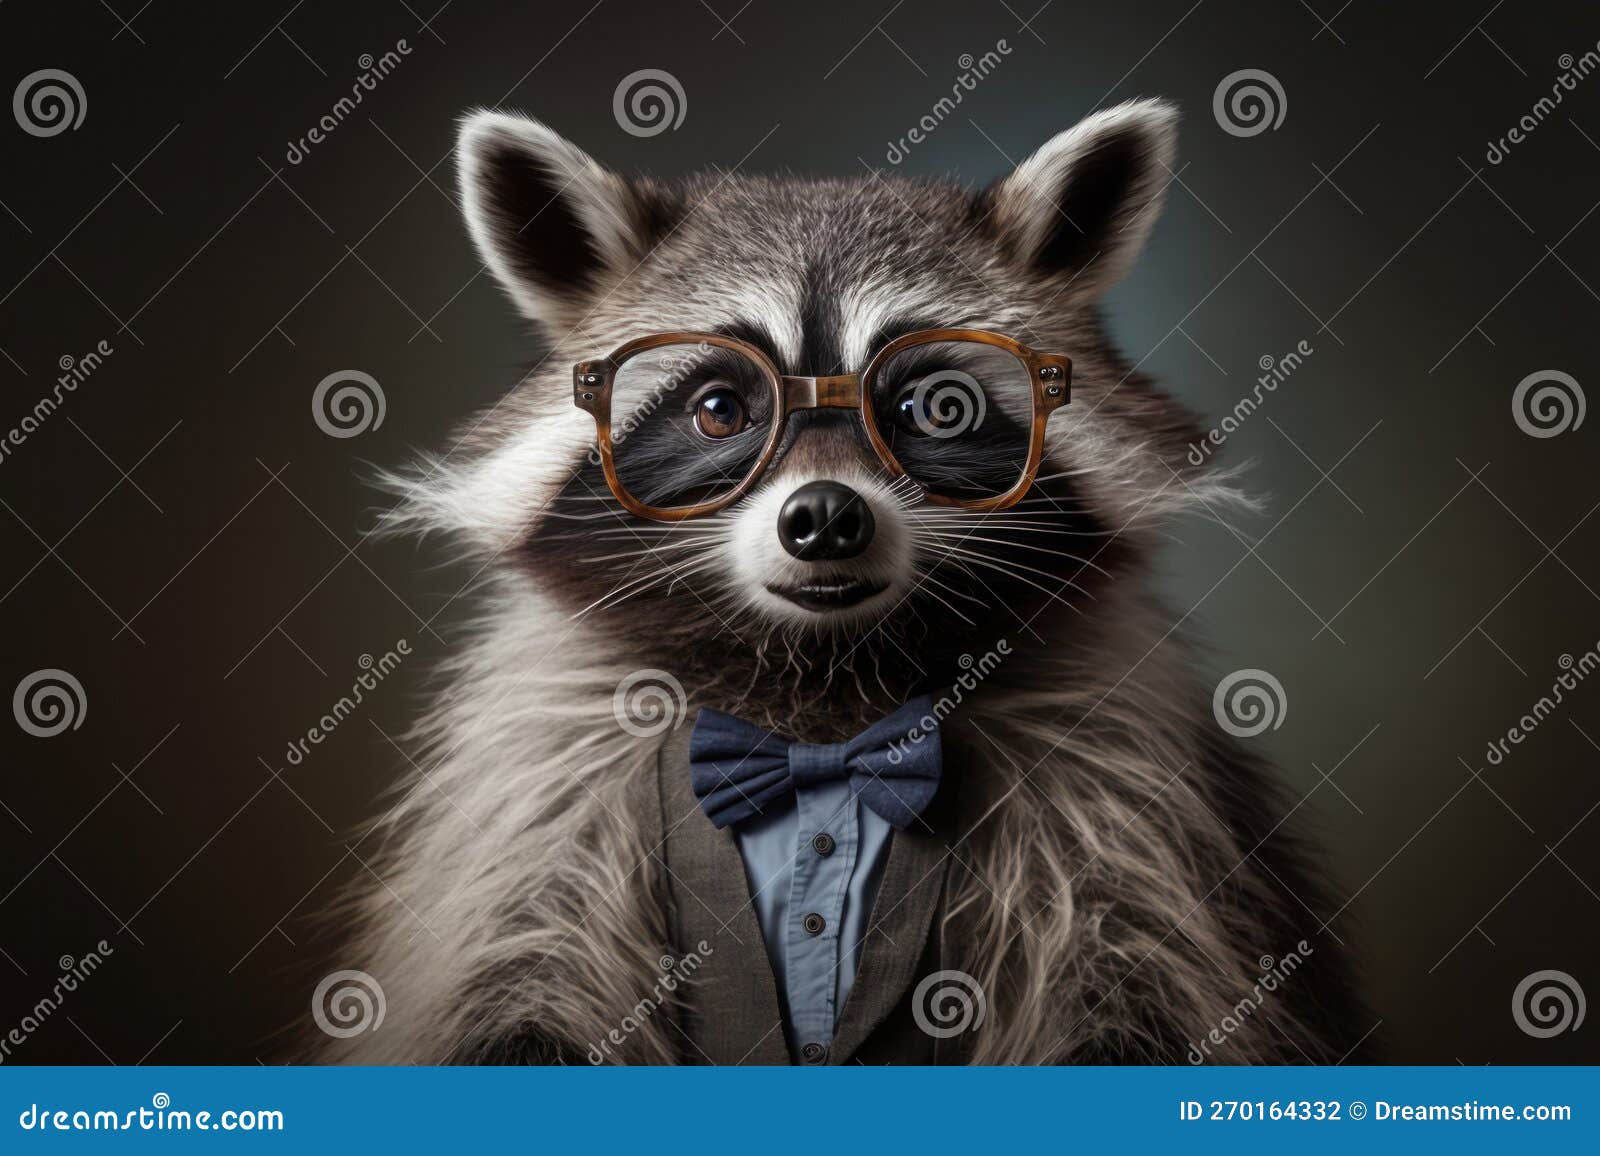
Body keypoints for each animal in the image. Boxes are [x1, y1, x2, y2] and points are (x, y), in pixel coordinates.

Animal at [318, 98, 1365, 1064]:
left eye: (936, 407)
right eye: (719, 408)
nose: (824, 518)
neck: (820, 697)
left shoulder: (1108, 784)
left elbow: (1134, 999)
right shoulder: (547, 773)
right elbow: (513, 987)